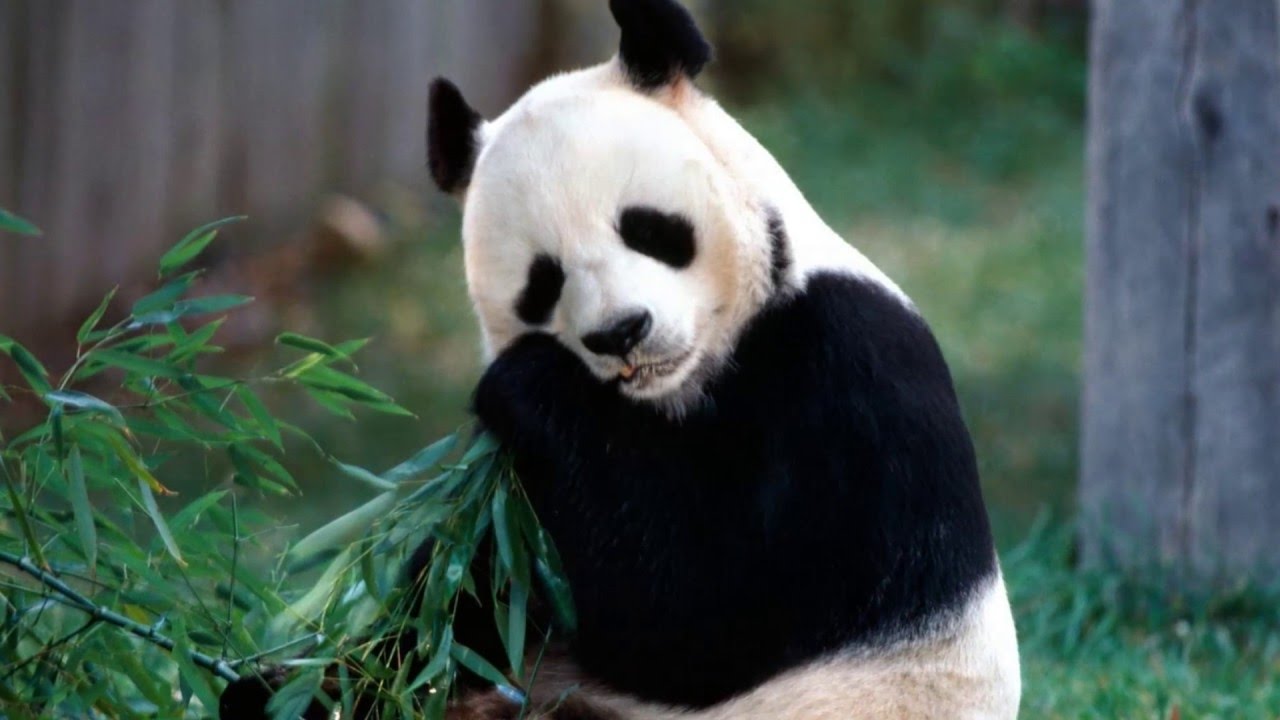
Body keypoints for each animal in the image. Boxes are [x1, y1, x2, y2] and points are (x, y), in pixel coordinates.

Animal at [221, 0, 1020, 718]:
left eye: (649, 229)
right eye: (543, 282)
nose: (621, 332)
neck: (687, 383)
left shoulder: (847, 380)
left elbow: (703, 615)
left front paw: (525, 382)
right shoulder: (524, 500)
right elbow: (473, 594)